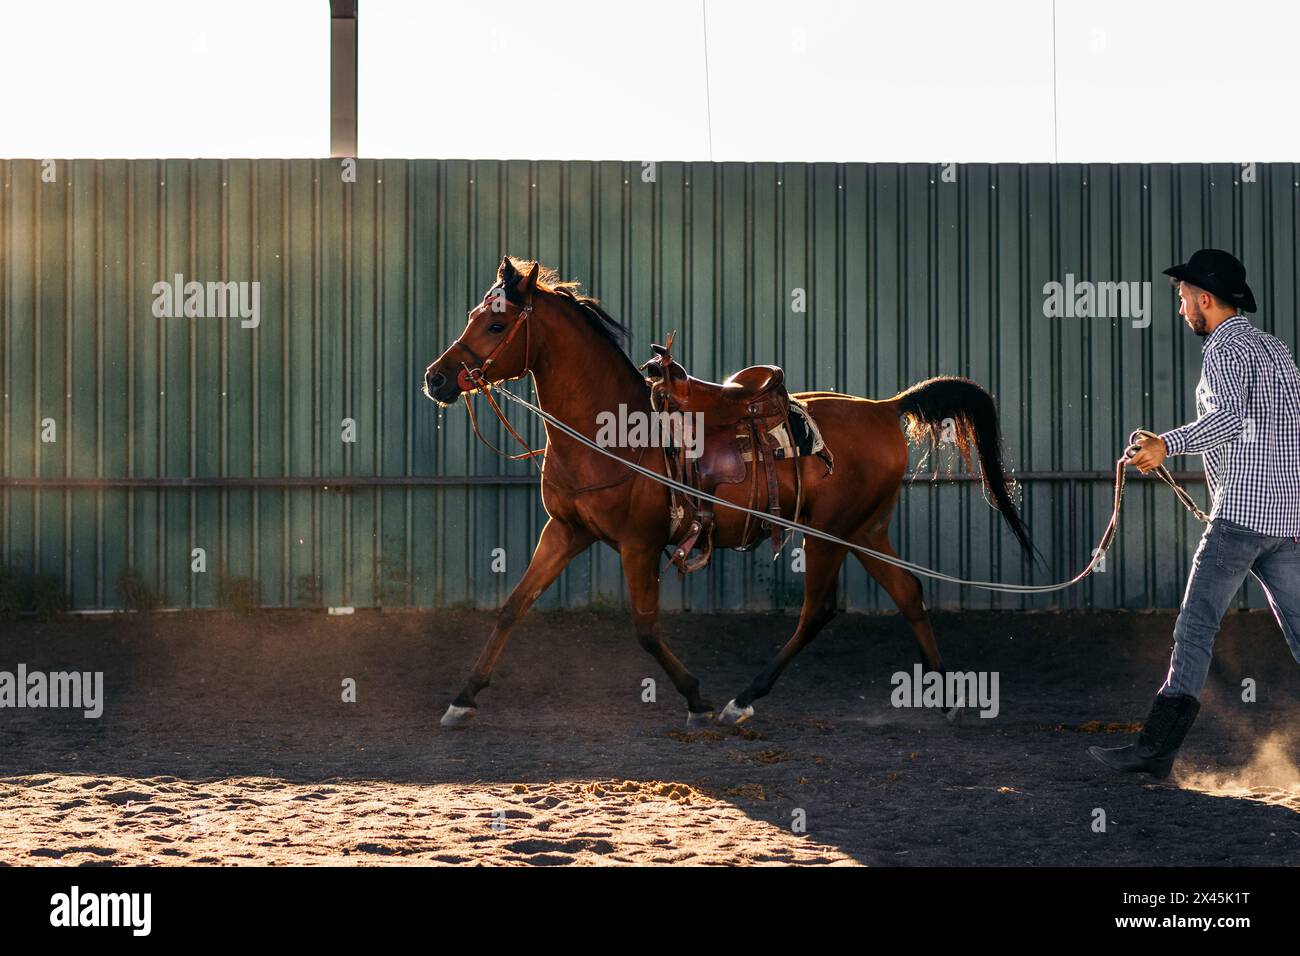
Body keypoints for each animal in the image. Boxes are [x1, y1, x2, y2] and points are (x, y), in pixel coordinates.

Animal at [423, 256, 1036, 729]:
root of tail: (887, 408)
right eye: (476, 316)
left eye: (496, 326)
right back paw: (946, 698)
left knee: (817, 611)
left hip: (830, 534)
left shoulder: (639, 544)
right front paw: (462, 699)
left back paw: (742, 700)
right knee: (908, 593)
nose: (436, 378)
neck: (614, 433)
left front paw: (696, 698)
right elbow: (512, 607)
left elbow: (646, 629)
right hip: (865, 530)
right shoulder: (567, 531)